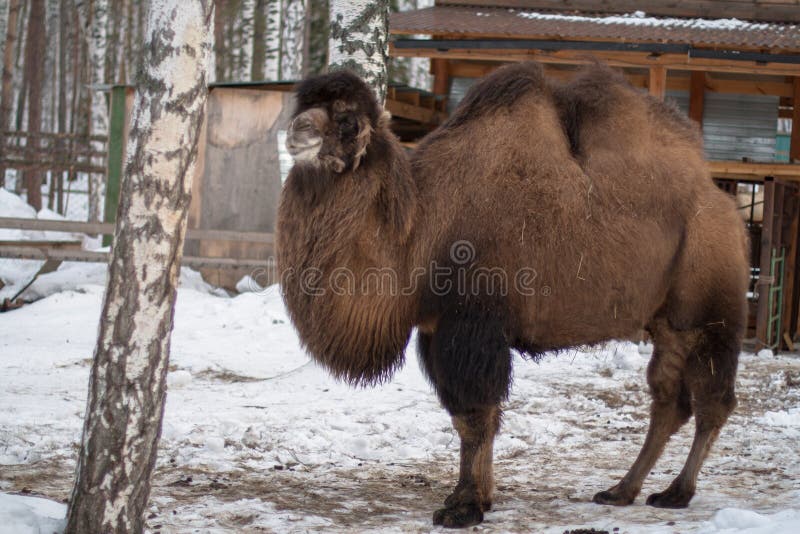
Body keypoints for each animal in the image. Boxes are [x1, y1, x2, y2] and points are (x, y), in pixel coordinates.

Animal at [276, 62, 749, 528]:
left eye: (349, 121)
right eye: (304, 106)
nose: (297, 131)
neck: (422, 227)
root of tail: (725, 203)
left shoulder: (473, 326)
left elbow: (475, 416)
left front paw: (463, 507)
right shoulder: (437, 330)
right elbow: (470, 417)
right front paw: (481, 498)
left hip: (710, 311)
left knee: (714, 400)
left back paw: (677, 493)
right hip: (665, 322)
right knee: (669, 400)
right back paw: (621, 490)